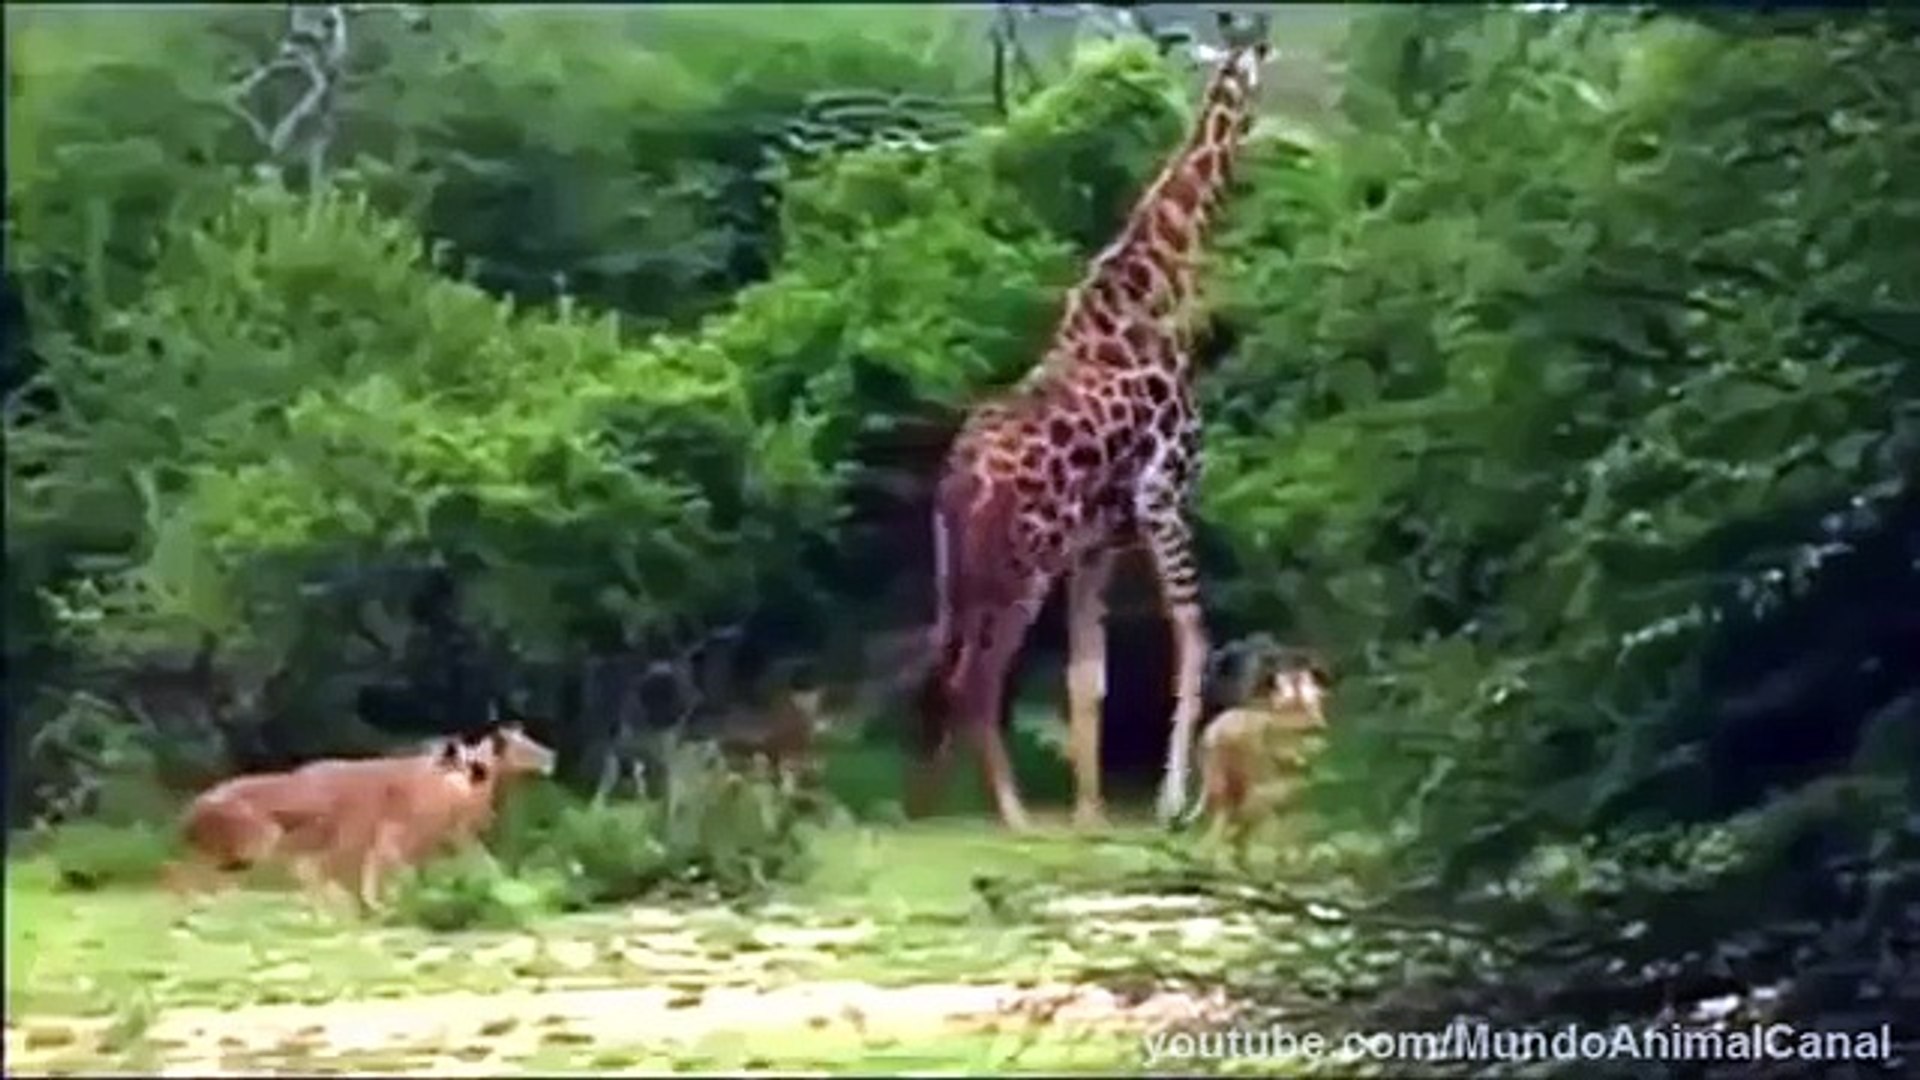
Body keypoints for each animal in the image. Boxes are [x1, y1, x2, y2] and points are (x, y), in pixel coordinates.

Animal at [911, 13, 1274, 830]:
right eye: (1258, 67)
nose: (1262, 124)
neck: (1159, 283)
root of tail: (955, 484)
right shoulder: (1163, 497)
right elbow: (1192, 636)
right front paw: (1171, 802)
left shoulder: (1099, 538)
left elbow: (1088, 675)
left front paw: (1091, 811)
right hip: (1020, 564)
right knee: (980, 677)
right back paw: (1012, 814)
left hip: (968, 570)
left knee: (950, 667)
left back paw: (934, 805)